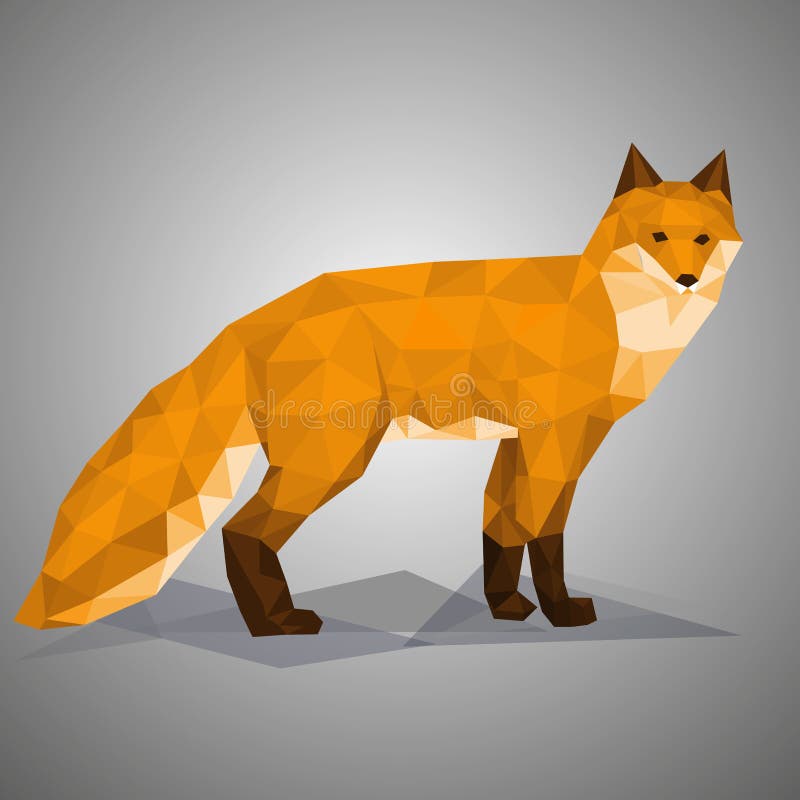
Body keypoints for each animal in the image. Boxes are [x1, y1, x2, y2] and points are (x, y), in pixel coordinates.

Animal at [16, 145, 741, 636]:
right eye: (655, 237)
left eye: (703, 239)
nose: (684, 278)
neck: (614, 318)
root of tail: (251, 318)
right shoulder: (558, 442)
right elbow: (546, 533)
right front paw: (561, 613)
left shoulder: (517, 440)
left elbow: (498, 525)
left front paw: (506, 608)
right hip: (333, 458)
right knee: (241, 531)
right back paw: (276, 625)